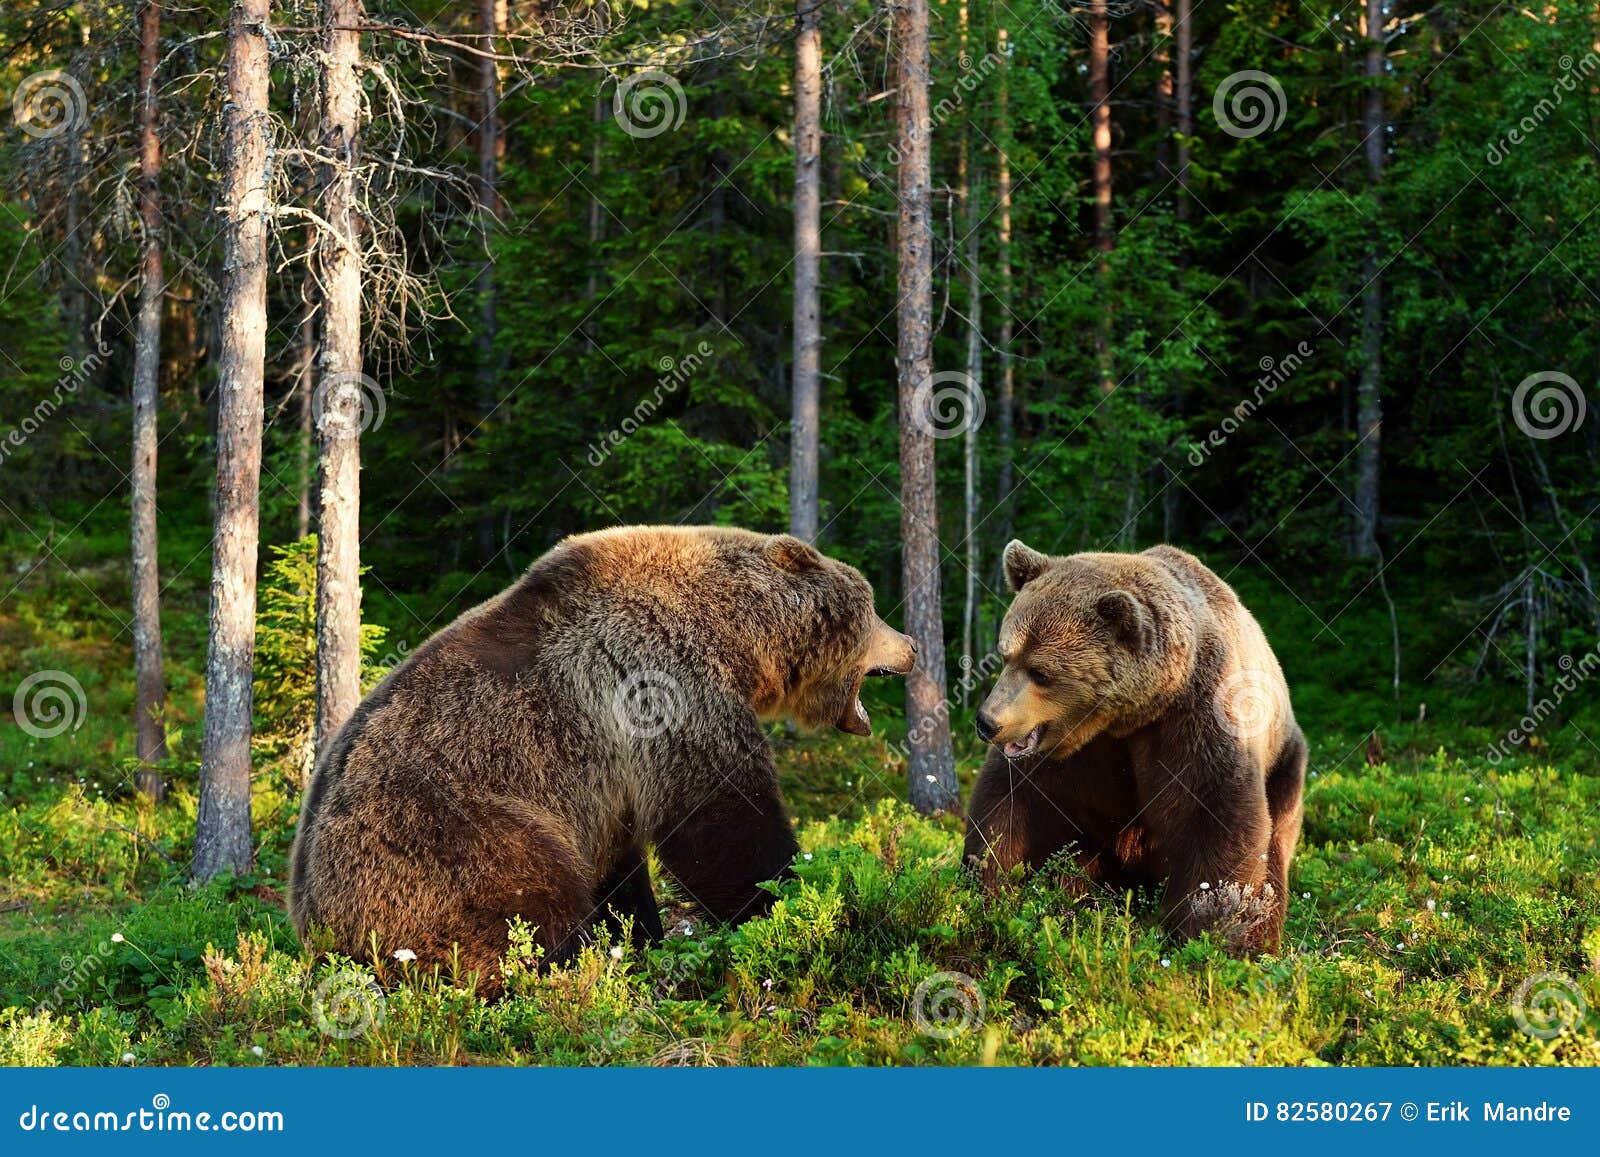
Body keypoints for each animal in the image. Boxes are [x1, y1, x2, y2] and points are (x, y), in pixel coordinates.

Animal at [289, 525, 915, 996]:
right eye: (873, 608)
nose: (911, 644)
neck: (735, 635)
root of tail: (316, 924)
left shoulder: (611, 784)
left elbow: (624, 864)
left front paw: (641, 937)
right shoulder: (666, 686)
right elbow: (723, 821)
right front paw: (788, 898)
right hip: (449, 832)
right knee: (526, 895)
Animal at [964, 539, 1306, 952]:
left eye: (1041, 672)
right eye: (1006, 654)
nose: (987, 722)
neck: (1126, 717)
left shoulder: (1196, 720)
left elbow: (1212, 814)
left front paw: (1205, 932)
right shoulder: (1065, 755)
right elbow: (1009, 807)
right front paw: (986, 889)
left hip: (1285, 767)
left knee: (1274, 853)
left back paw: (1262, 938)